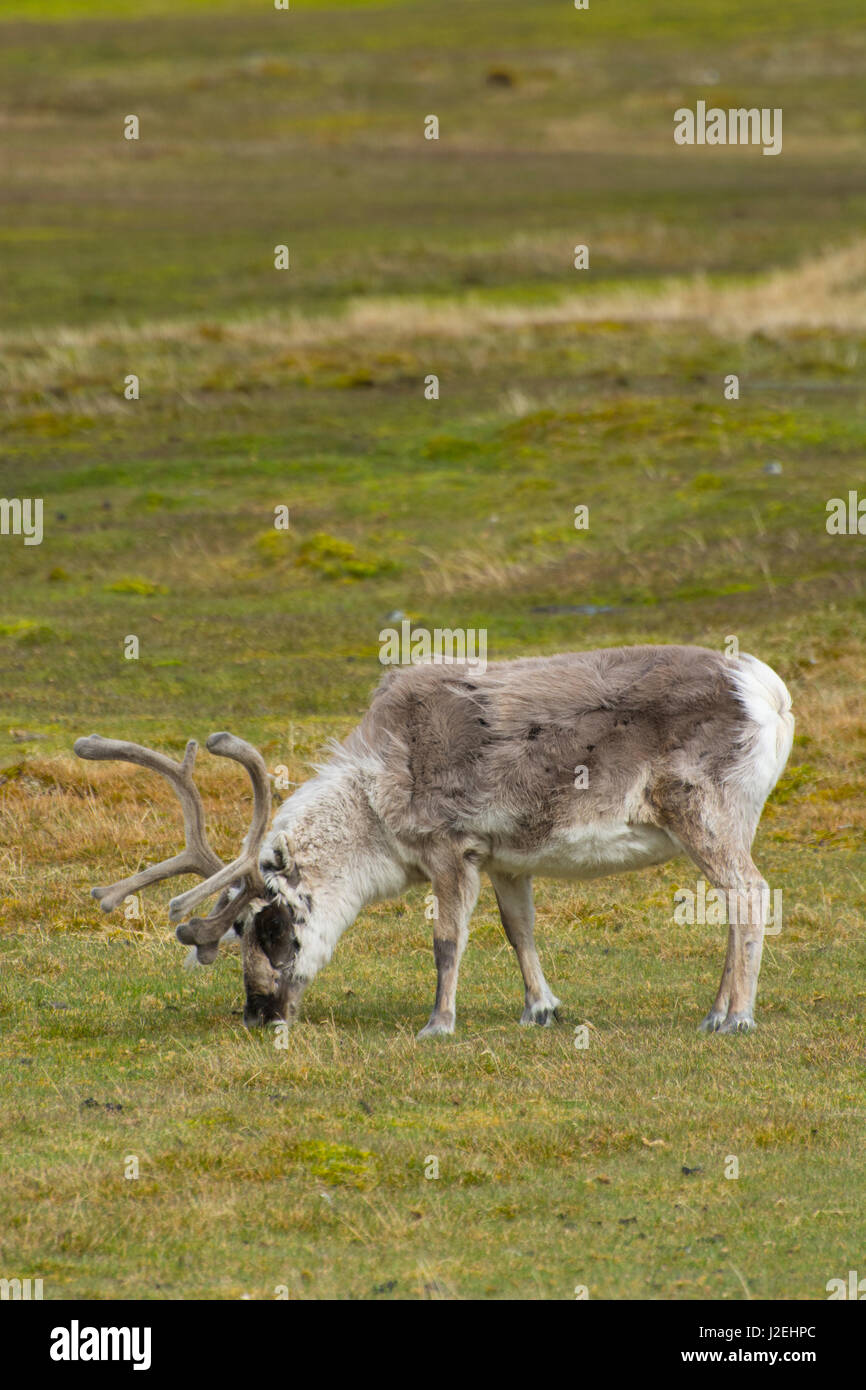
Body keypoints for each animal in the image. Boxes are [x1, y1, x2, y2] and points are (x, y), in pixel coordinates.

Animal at [74, 643, 793, 1037]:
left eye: (269, 926)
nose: (258, 1014)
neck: (373, 799)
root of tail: (772, 695)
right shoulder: (508, 859)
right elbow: (520, 931)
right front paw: (541, 1010)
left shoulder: (451, 849)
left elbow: (448, 942)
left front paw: (438, 1023)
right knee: (734, 903)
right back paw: (715, 1010)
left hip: (703, 810)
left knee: (751, 892)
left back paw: (736, 1017)